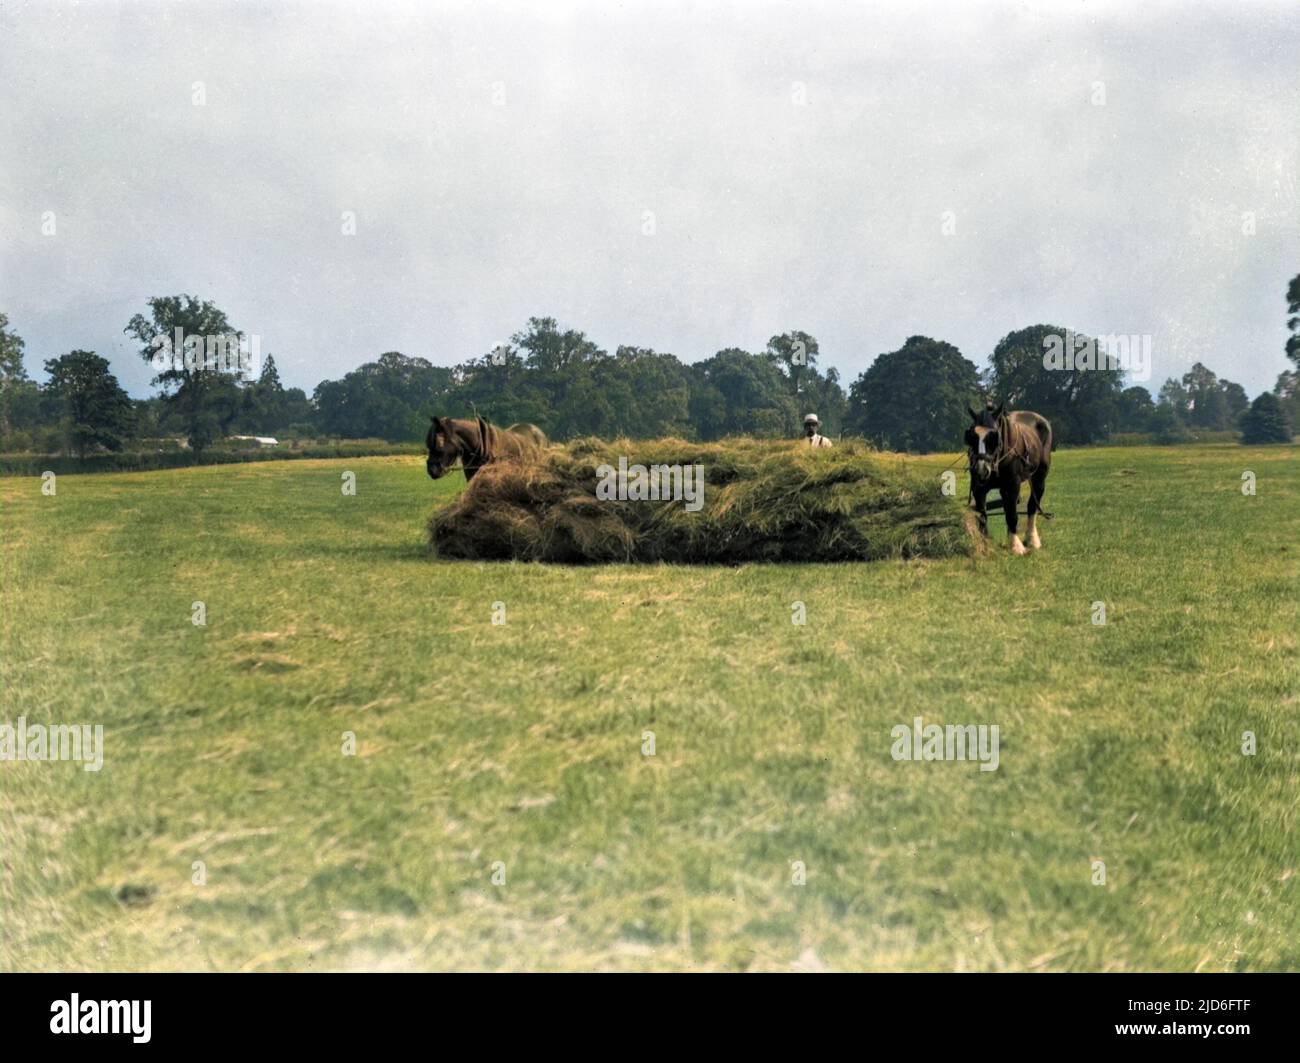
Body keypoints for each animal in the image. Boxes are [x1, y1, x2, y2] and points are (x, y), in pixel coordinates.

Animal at [964, 403, 1053, 555]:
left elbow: (1012, 515)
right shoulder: (978, 488)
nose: (981, 470)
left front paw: (1016, 547)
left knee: (1032, 506)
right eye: (972, 437)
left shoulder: (1013, 484)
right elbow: (983, 515)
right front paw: (985, 545)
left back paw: (1032, 539)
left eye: (994, 437)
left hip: (1039, 478)